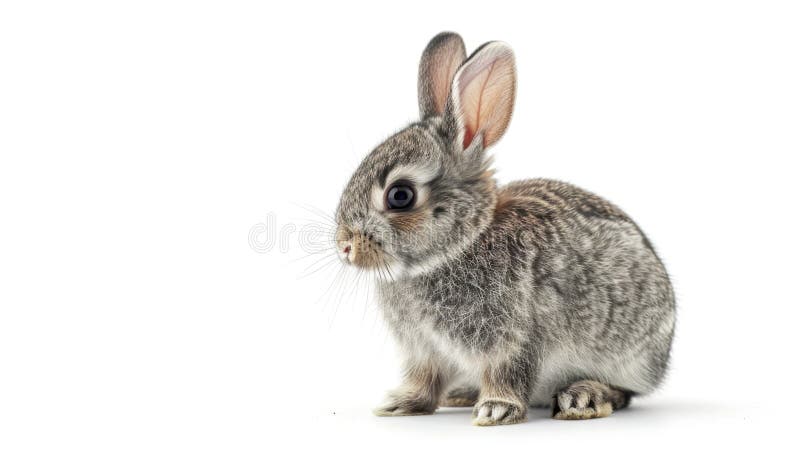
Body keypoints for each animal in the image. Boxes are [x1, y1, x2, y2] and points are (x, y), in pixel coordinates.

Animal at [333, 32, 676, 426]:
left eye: (400, 195)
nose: (344, 245)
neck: (461, 245)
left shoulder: (516, 337)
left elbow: (509, 372)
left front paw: (496, 409)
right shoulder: (426, 351)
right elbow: (425, 379)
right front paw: (400, 403)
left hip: (629, 354)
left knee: (625, 392)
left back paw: (583, 397)